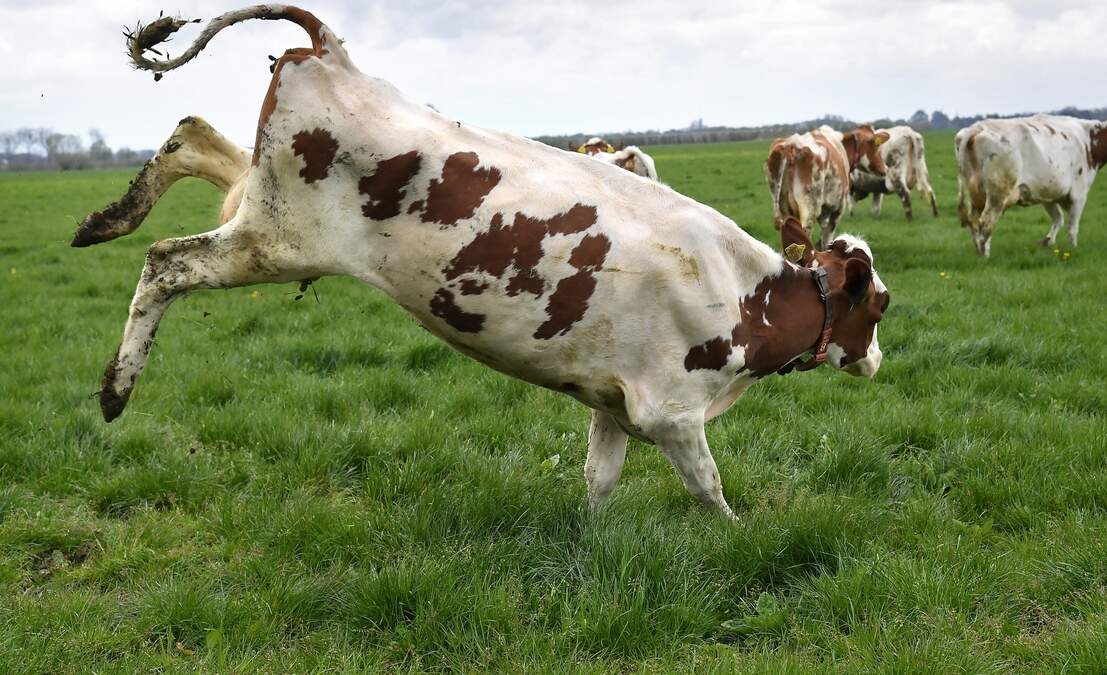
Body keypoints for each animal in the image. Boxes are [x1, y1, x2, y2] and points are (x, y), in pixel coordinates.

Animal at [78, 6, 889, 517]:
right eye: (878, 305)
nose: (879, 360)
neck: (745, 294)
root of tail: (337, 55)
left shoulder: (613, 403)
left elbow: (598, 483)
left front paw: (592, 546)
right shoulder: (671, 412)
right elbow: (709, 489)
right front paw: (737, 536)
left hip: (257, 207)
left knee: (190, 136)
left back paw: (104, 218)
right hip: (273, 240)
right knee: (165, 262)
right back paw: (116, 388)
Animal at [955, 114, 1107, 256]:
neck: (1088, 138)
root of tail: (977, 127)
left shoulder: (1048, 193)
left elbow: (1058, 219)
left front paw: (1047, 241)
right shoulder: (1079, 194)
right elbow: (1072, 227)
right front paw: (1073, 249)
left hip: (975, 194)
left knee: (974, 223)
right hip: (998, 193)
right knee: (986, 223)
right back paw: (985, 256)